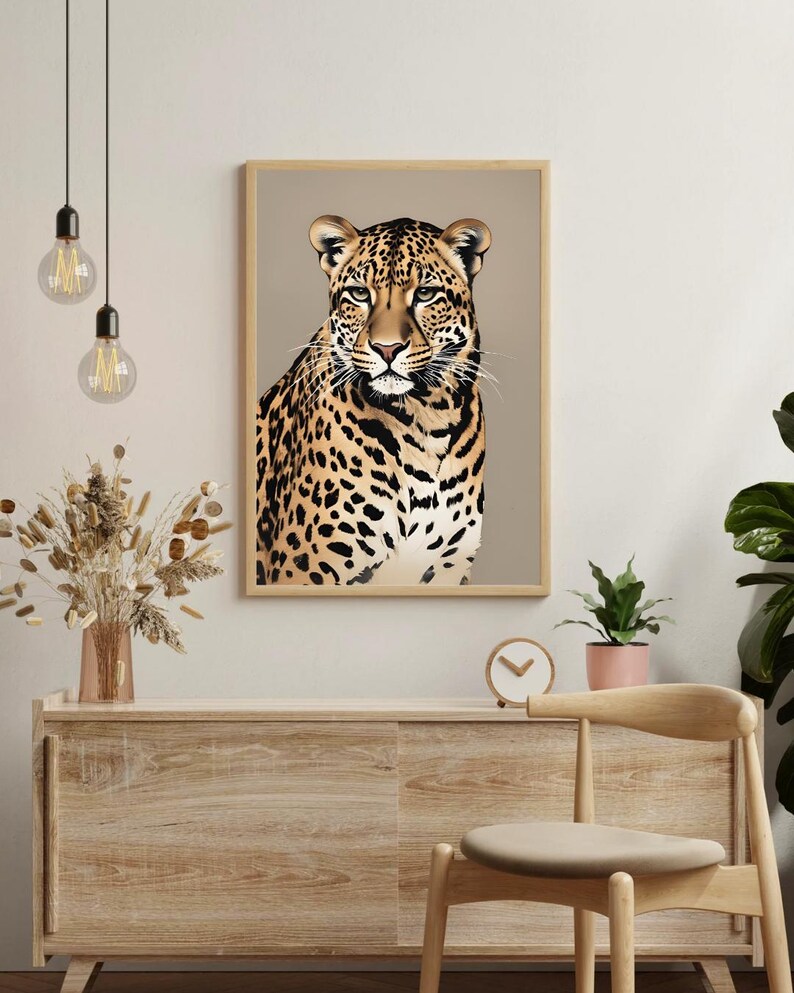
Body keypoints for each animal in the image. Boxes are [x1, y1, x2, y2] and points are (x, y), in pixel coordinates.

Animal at [255, 213, 491, 587]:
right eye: (359, 293)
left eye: (425, 294)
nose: (387, 348)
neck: (427, 419)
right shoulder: (307, 572)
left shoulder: (447, 568)